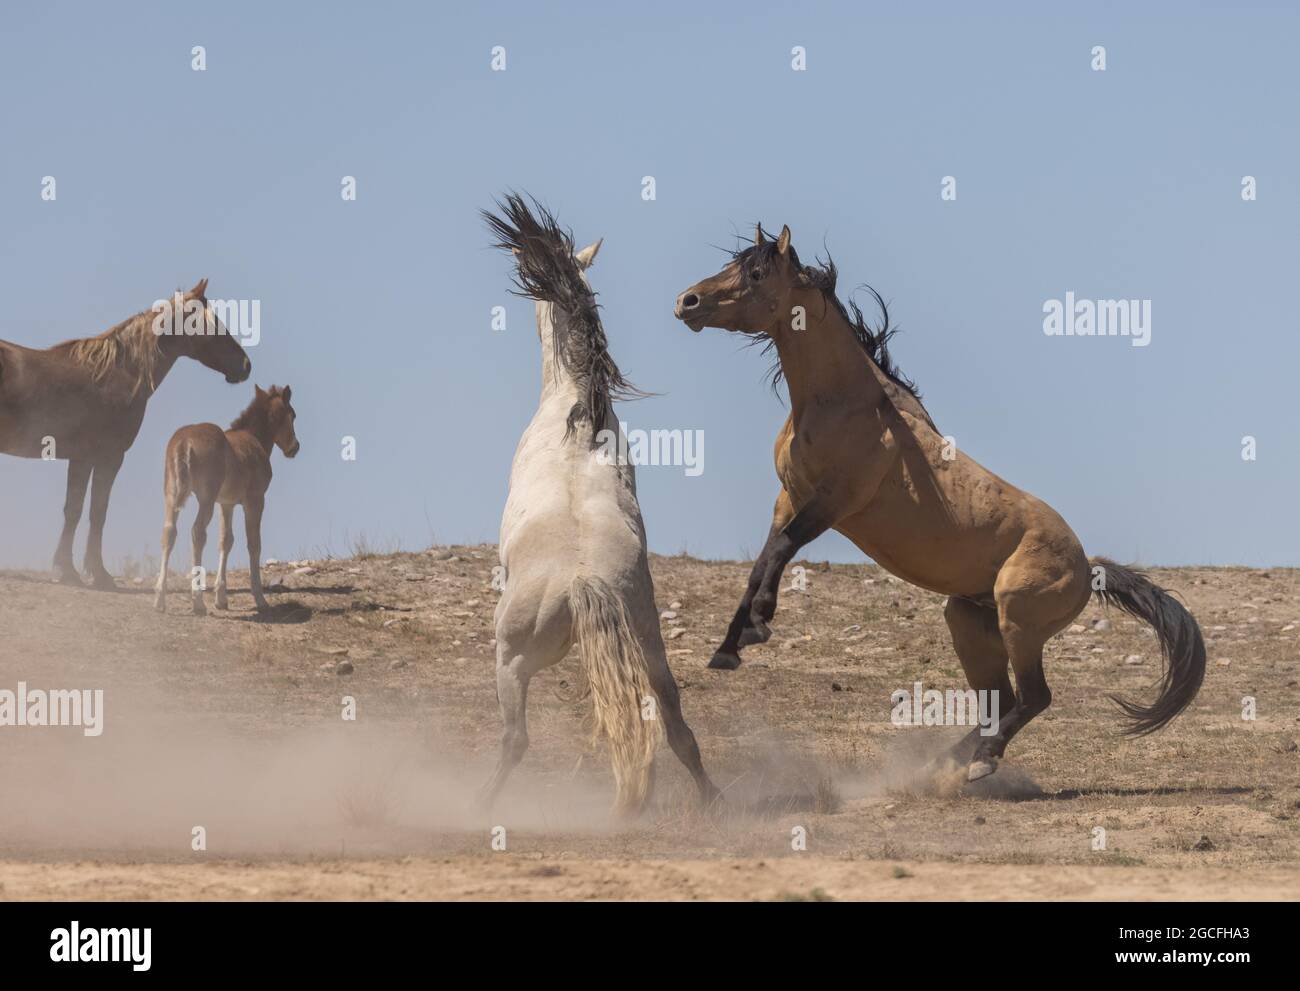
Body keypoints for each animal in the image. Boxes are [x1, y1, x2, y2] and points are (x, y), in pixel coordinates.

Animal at [0, 278, 251, 588]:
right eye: (213, 324)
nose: (245, 365)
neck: (114, 376)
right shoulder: (107, 457)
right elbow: (94, 512)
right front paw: (91, 573)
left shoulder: (82, 459)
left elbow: (76, 510)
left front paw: (69, 569)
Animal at [153, 385, 299, 616]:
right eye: (292, 415)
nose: (295, 447)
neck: (254, 438)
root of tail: (184, 443)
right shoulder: (255, 500)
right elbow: (254, 543)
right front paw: (260, 598)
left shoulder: (226, 503)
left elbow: (226, 540)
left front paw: (221, 598)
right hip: (206, 498)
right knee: (197, 533)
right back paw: (197, 601)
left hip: (171, 493)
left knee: (169, 532)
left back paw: (159, 599)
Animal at [480, 194, 719, 817]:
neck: (576, 415)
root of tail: (583, 581)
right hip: (648, 645)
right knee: (673, 721)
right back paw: (709, 797)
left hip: (511, 662)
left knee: (515, 739)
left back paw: (479, 804)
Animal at [673, 224, 1206, 782]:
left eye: (756, 272)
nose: (687, 302)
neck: (841, 403)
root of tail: (1090, 568)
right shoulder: (787, 500)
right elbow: (761, 563)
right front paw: (728, 649)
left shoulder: (833, 504)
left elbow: (781, 552)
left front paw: (758, 625)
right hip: (969, 622)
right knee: (1002, 700)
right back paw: (949, 762)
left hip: (1019, 624)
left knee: (1034, 697)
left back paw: (980, 764)